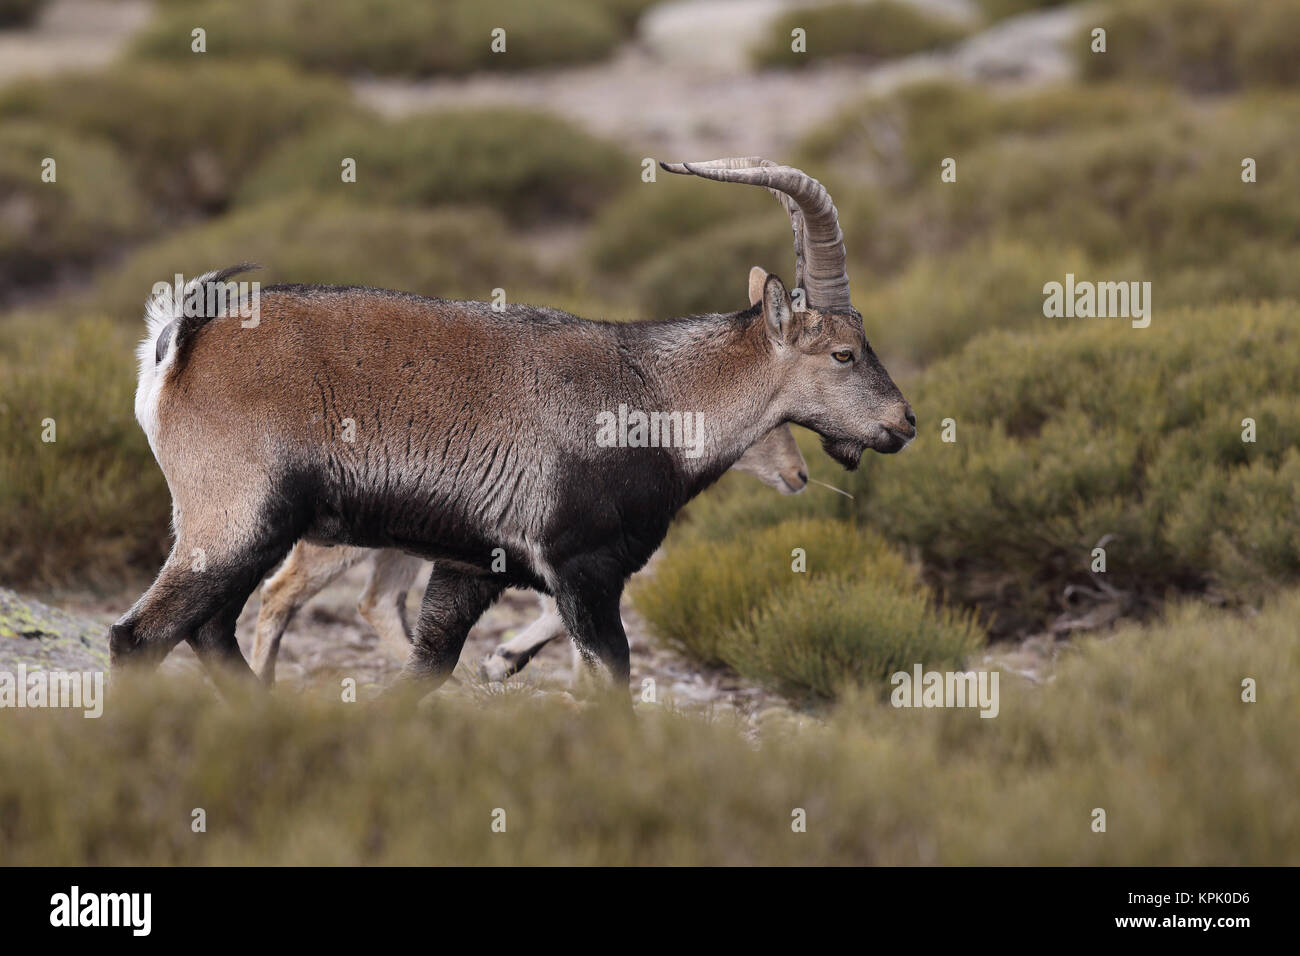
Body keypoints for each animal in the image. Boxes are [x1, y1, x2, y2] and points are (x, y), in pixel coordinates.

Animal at [249, 271, 811, 686]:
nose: (800, 475)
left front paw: (510, 662)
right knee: (283, 590)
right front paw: (504, 662)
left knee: (376, 602)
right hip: (341, 543)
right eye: (773, 427)